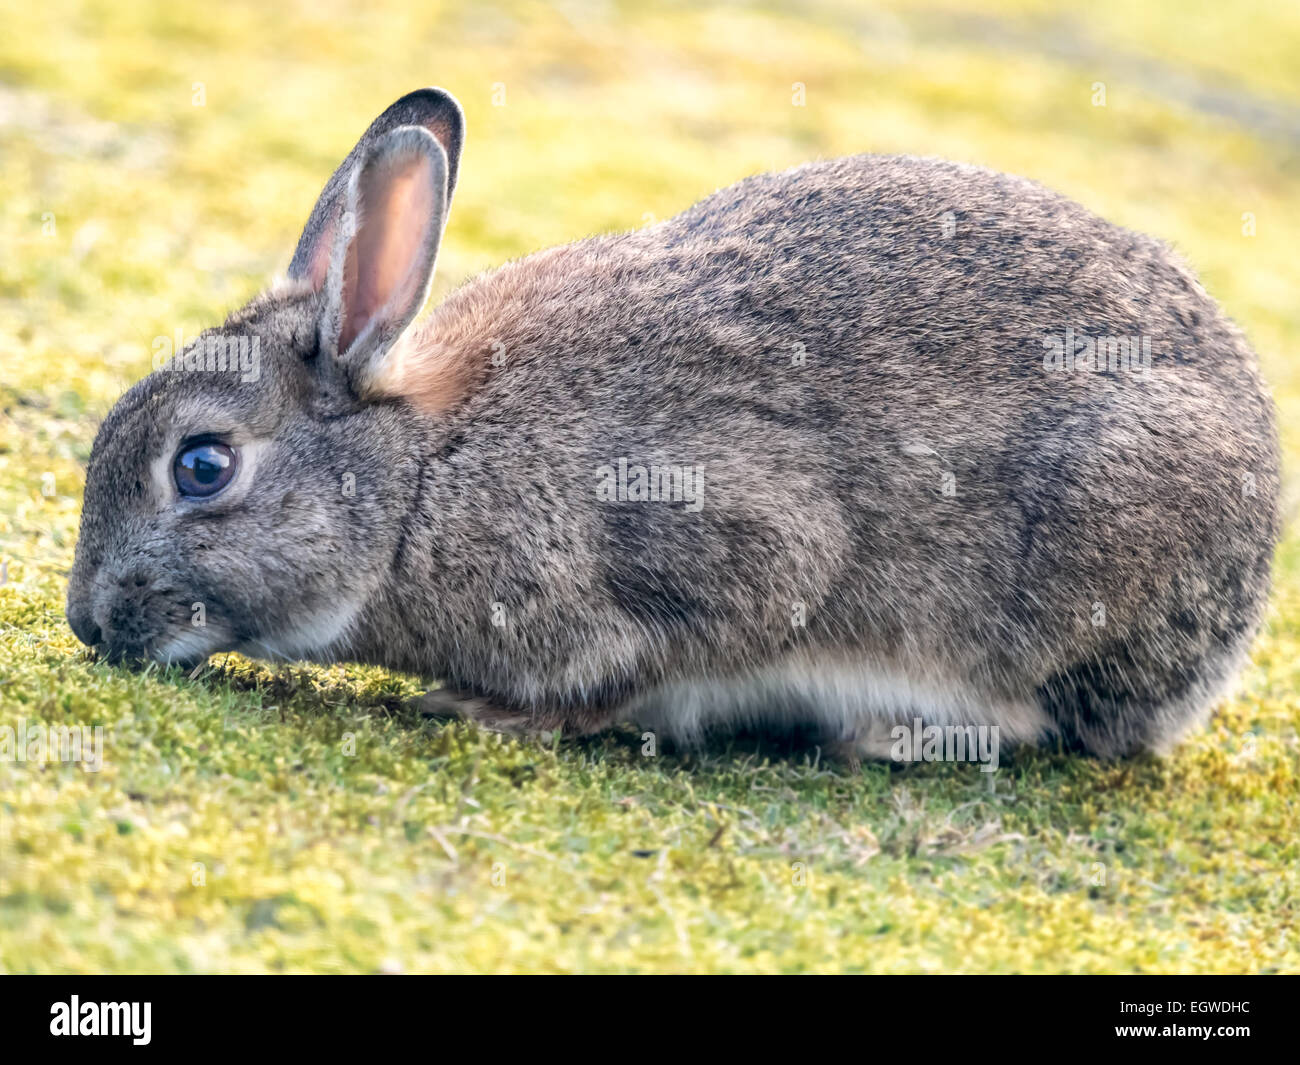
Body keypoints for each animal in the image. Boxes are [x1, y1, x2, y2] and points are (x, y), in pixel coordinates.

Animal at [66, 87, 1281, 761]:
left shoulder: (731, 547)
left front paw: (494, 713)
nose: (86, 622)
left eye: (203, 465)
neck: (418, 478)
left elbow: (665, 655)